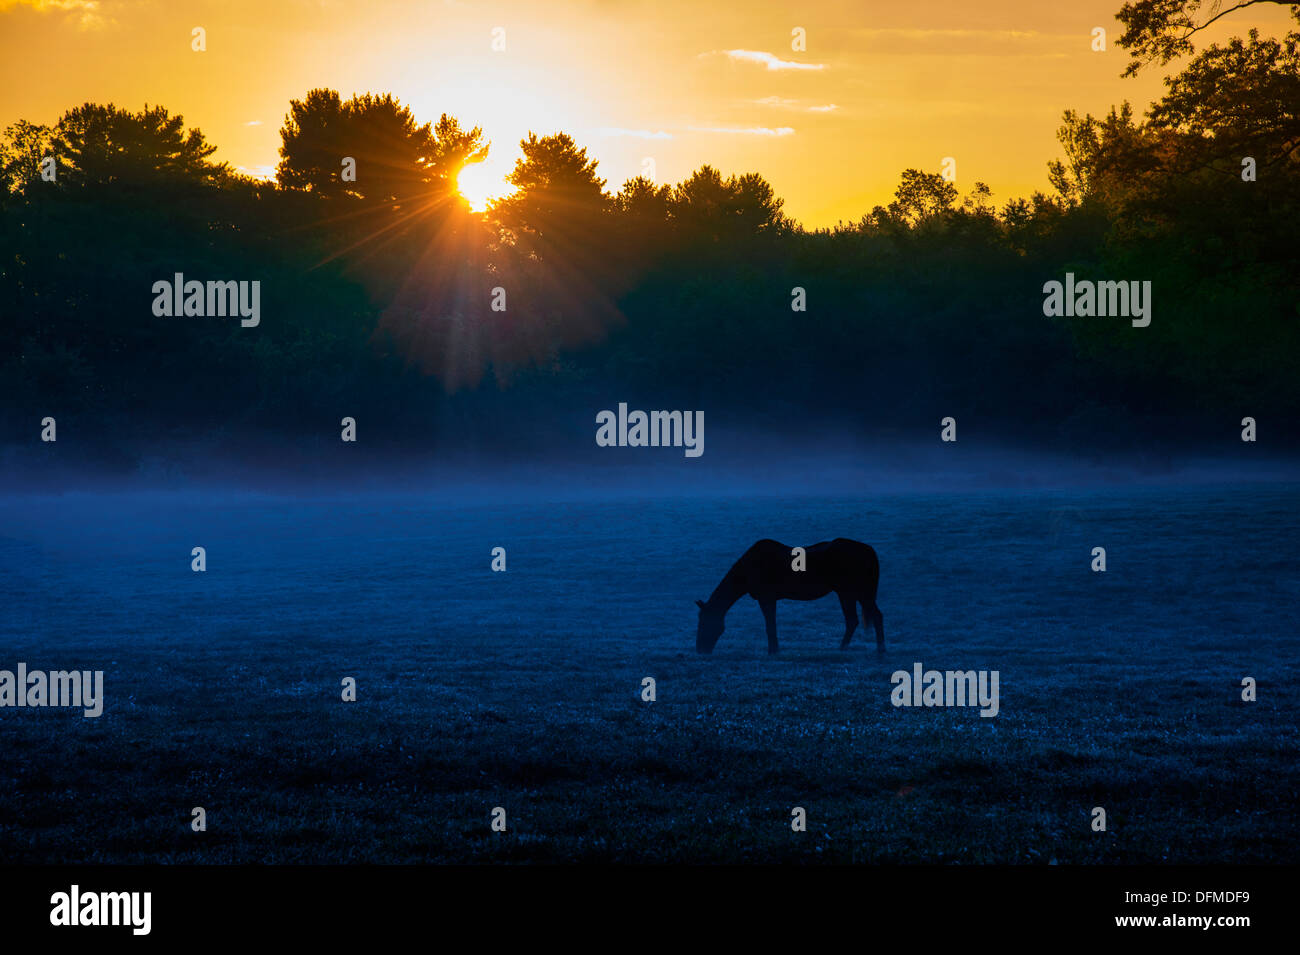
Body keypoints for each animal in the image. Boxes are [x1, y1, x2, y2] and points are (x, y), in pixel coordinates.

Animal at [695, 538, 884, 655]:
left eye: (704, 622)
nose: (700, 650)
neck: (749, 567)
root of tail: (867, 550)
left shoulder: (766, 598)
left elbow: (770, 625)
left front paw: (773, 651)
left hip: (857, 592)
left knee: (871, 616)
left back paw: (879, 650)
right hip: (849, 593)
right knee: (855, 620)